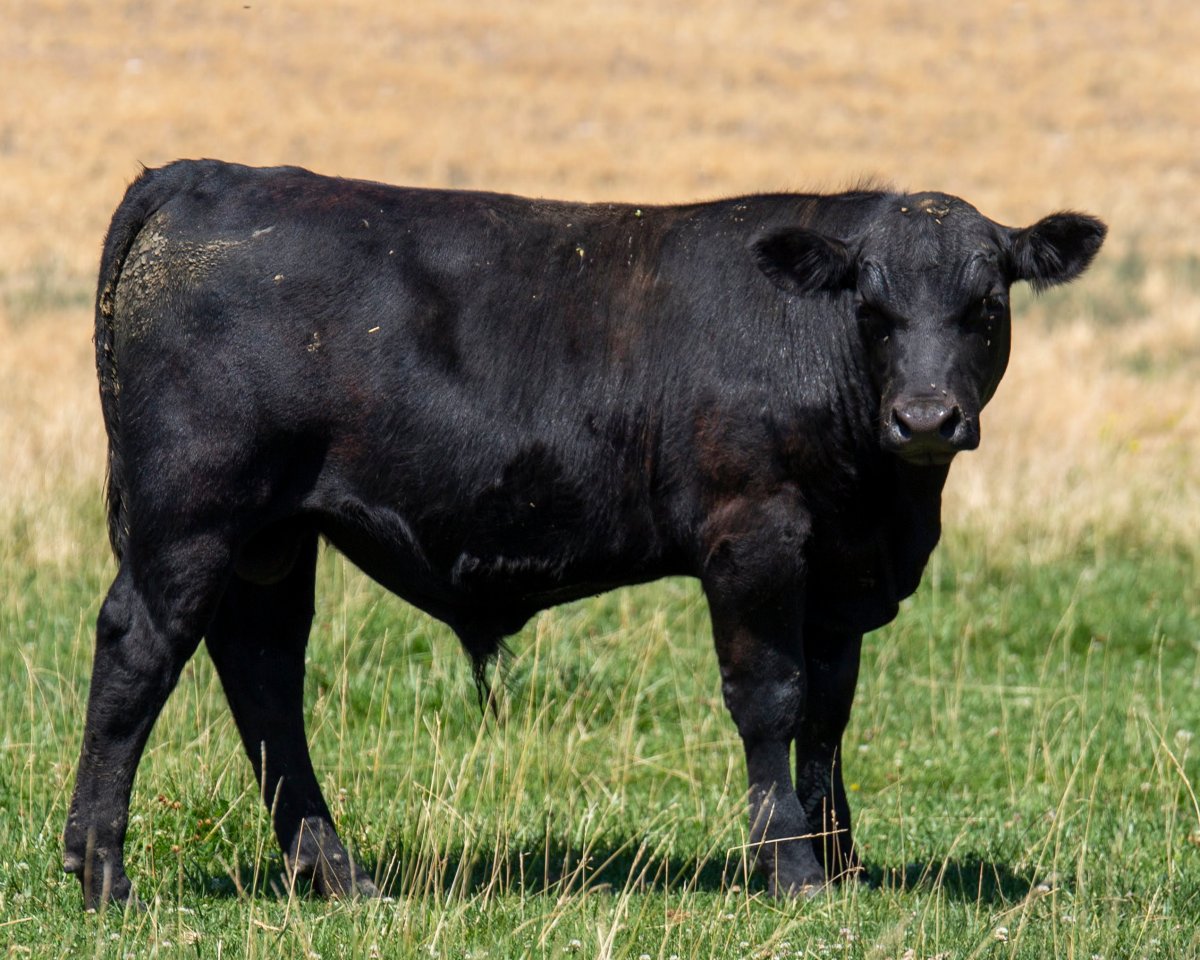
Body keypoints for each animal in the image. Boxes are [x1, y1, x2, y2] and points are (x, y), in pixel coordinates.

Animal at [64, 160, 1105, 908]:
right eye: (874, 310)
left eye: (987, 306)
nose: (926, 418)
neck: (886, 505)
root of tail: (204, 174)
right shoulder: (754, 536)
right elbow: (771, 699)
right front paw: (792, 872)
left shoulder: (841, 574)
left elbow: (828, 714)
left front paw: (843, 865)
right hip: (190, 513)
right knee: (138, 653)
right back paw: (105, 873)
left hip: (271, 539)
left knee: (265, 678)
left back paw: (339, 876)